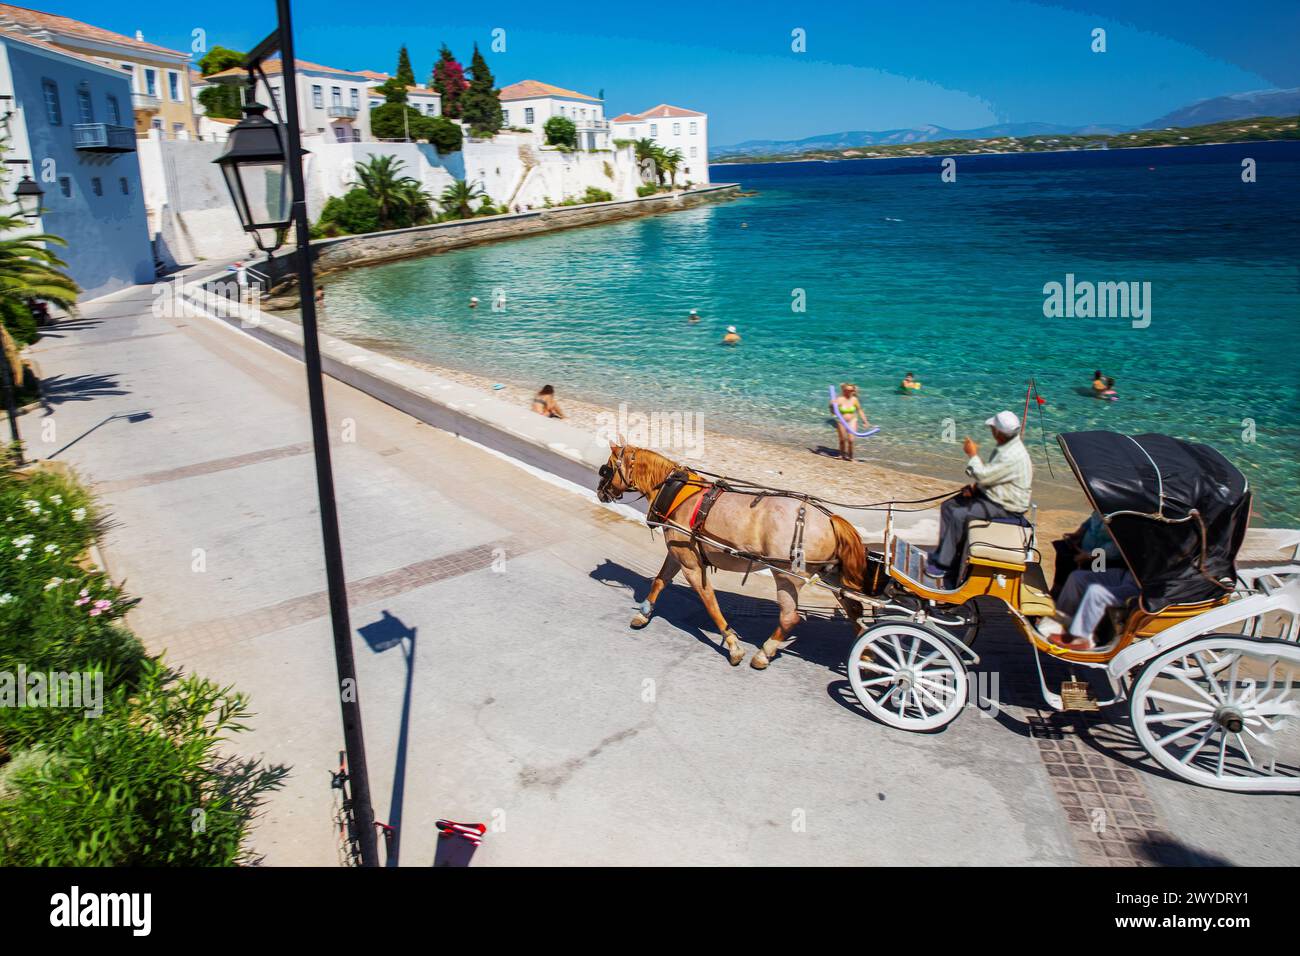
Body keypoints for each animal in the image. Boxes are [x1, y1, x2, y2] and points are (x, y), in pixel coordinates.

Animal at [595, 441, 869, 669]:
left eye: (606, 468)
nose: (600, 491)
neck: (679, 494)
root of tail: (830, 519)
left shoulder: (691, 564)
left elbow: (710, 602)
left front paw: (733, 645)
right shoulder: (677, 554)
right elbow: (660, 581)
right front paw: (643, 614)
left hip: (787, 575)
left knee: (790, 618)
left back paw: (764, 653)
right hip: (832, 574)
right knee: (854, 610)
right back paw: (866, 657)